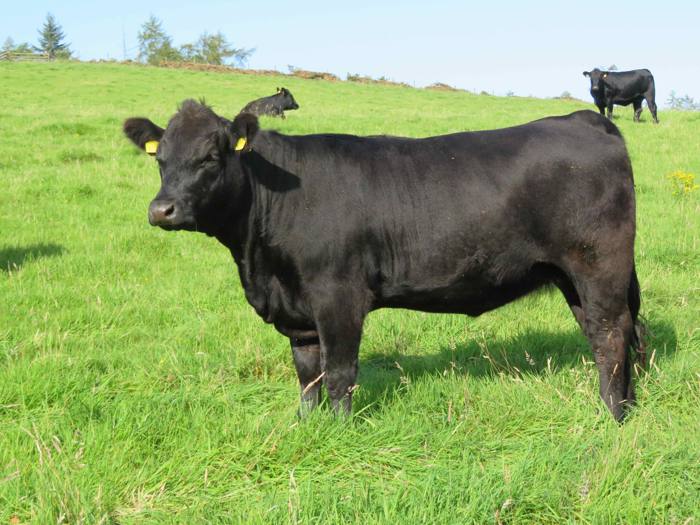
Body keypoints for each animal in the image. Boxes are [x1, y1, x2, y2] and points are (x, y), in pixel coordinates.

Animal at [123, 100, 645, 422]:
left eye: (211, 157)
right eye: (159, 159)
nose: (161, 209)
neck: (260, 266)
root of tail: (582, 118)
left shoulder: (338, 296)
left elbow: (339, 373)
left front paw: (338, 432)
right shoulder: (298, 311)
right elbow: (307, 375)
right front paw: (306, 426)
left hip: (597, 264)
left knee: (609, 334)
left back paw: (611, 415)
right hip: (572, 276)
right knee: (623, 330)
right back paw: (630, 404)